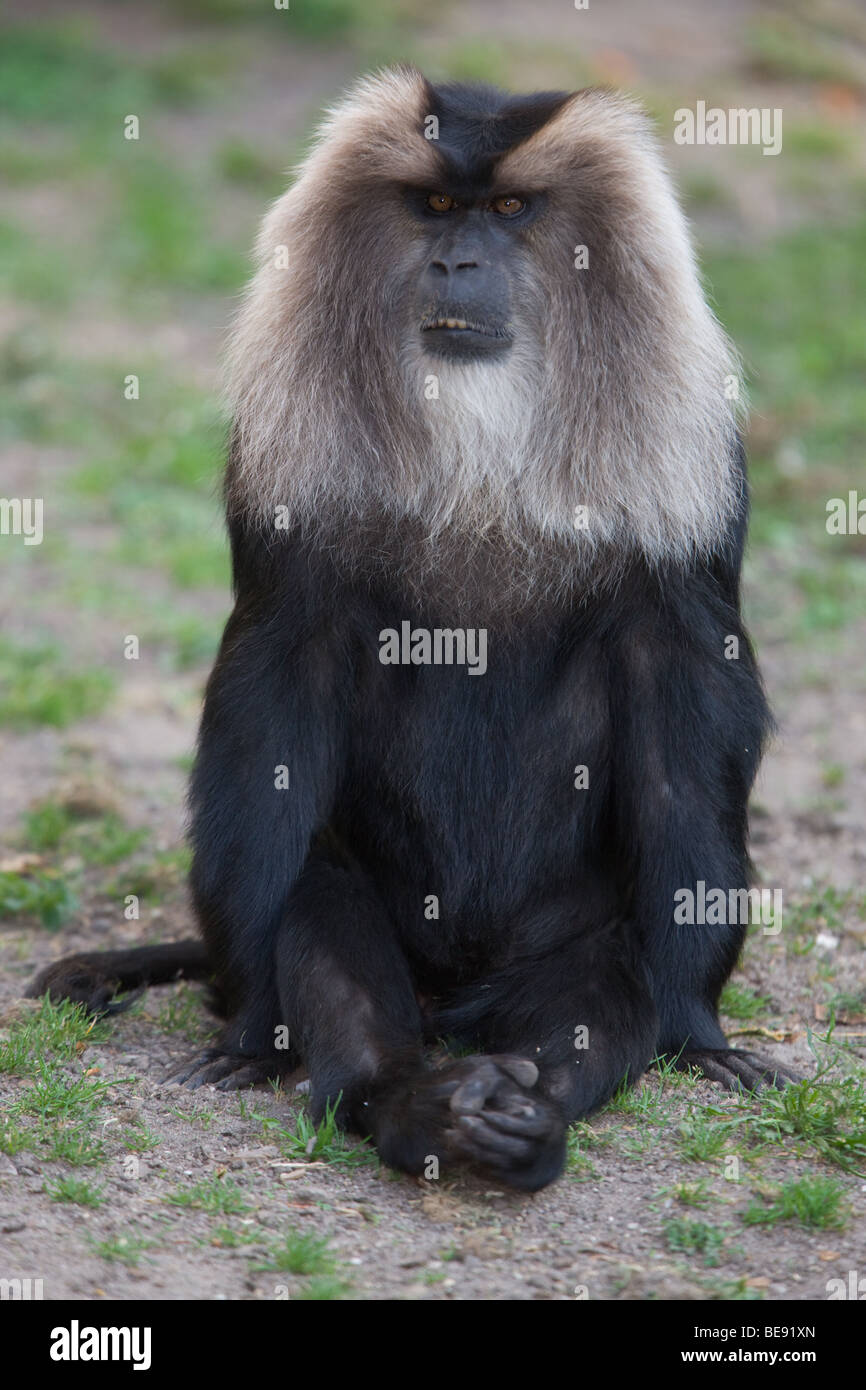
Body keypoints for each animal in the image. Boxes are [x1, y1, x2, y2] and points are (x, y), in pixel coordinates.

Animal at [30, 68, 798, 1192]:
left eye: (510, 209)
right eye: (435, 207)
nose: (457, 262)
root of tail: (451, 1009)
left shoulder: (695, 480)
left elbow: (684, 725)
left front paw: (699, 1030)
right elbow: (271, 704)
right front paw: (252, 1033)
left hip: (567, 949)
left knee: (600, 993)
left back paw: (519, 1113)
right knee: (320, 920)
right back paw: (418, 1104)